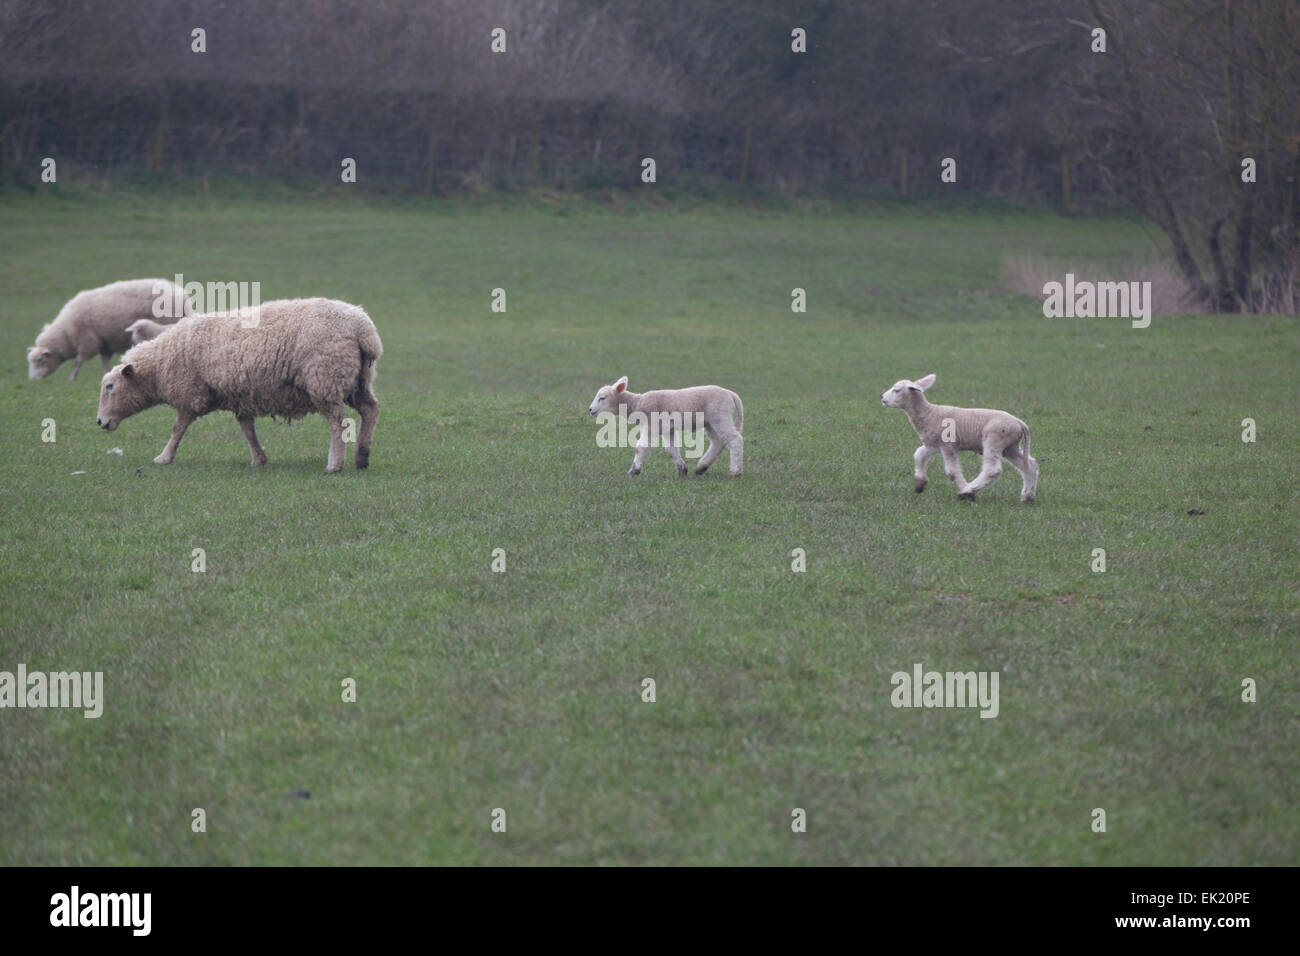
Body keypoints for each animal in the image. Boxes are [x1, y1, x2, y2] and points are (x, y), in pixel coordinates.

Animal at [28, 279, 190, 381]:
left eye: (40, 360)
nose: (33, 380)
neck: (65, 333)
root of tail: (182, 295)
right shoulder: (104, 344)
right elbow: (105, 362)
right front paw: (107, 373)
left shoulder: (87, 341)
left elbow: (78, 361)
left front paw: (72, 377)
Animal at [96, 298, 382, 474]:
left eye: (110, 386)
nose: (99, 422)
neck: (161, 362)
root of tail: (363, 329)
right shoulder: (240, 397)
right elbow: (247, 429)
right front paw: (259, 459)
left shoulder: (191, 393)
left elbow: (178, 428)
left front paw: (164, 458)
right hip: (358, 380)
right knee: (370, 409)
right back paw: (362, 456)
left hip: (325, 377)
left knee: (339, 422)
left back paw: (335, 465)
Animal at [588, 375, 744, 477]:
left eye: (602, 398)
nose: (590, 410)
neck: (637, 404)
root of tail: (731, 394)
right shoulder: (668, 428)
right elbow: (671, 449)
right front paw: (682, 470)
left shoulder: (652, 423)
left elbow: (641, 446)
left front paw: (634, 471)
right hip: (710, 422)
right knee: (718, 442)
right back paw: (701, 468)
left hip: (720, 416)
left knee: (735, 439)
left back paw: (735, 471)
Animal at [880, 373, 1037, 502]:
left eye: (896, 390)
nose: (882, 398)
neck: (929, 414)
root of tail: (1020, 423)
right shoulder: (933, 445)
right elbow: (918, 455)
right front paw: (920, 484)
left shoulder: (948, 445)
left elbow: (952, 472)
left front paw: (965, 490)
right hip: (1010, 446)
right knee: (1029, 465)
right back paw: (1027, 496)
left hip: (995, 440)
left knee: (993, 470)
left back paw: (967, 491)